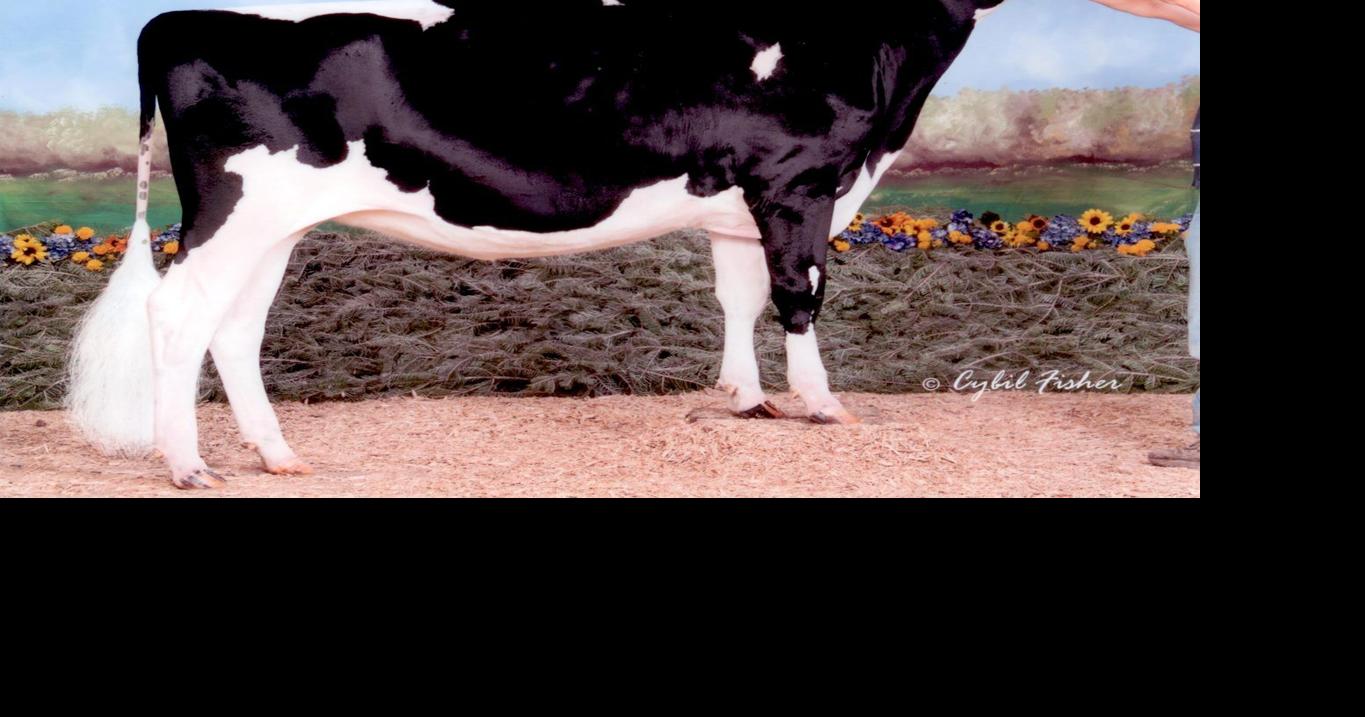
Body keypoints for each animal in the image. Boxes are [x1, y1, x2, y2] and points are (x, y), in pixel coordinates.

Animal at [66, 0, 1007, 488]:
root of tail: (179, 16)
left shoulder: (738, 205)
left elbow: (738, 297)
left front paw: (745, 397)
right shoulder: (798, 181)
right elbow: (799, 294)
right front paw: (822, 403)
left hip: (273, 225)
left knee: (233, 328)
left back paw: (276, 453)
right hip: (239, 208)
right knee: (177, 313)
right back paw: (187, 465)